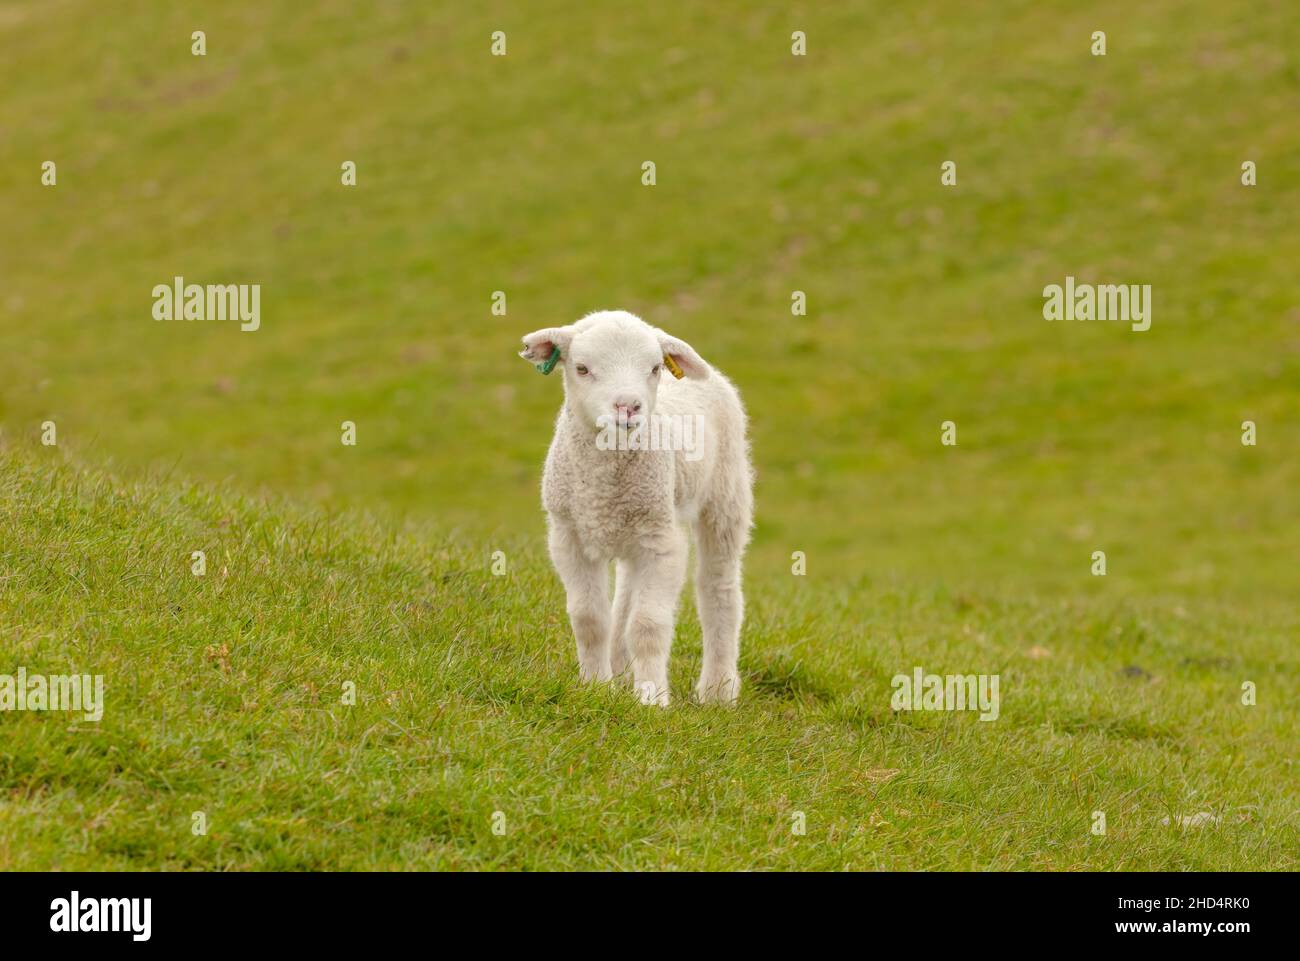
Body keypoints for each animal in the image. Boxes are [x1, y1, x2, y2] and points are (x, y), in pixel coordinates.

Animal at [518, 310, 754, 706]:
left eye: (655, 368)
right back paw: (621, 668)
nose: (628, 407)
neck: (604, 485)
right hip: (635, 526)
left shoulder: (663, 544)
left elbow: (648, 625)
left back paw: (718, 690)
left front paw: (652, 697)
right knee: (626, 595)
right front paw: (596, 687)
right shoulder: (568, 536)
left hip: (725, 494)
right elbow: (589, 619)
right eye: (582, 368)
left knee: (718, 588)